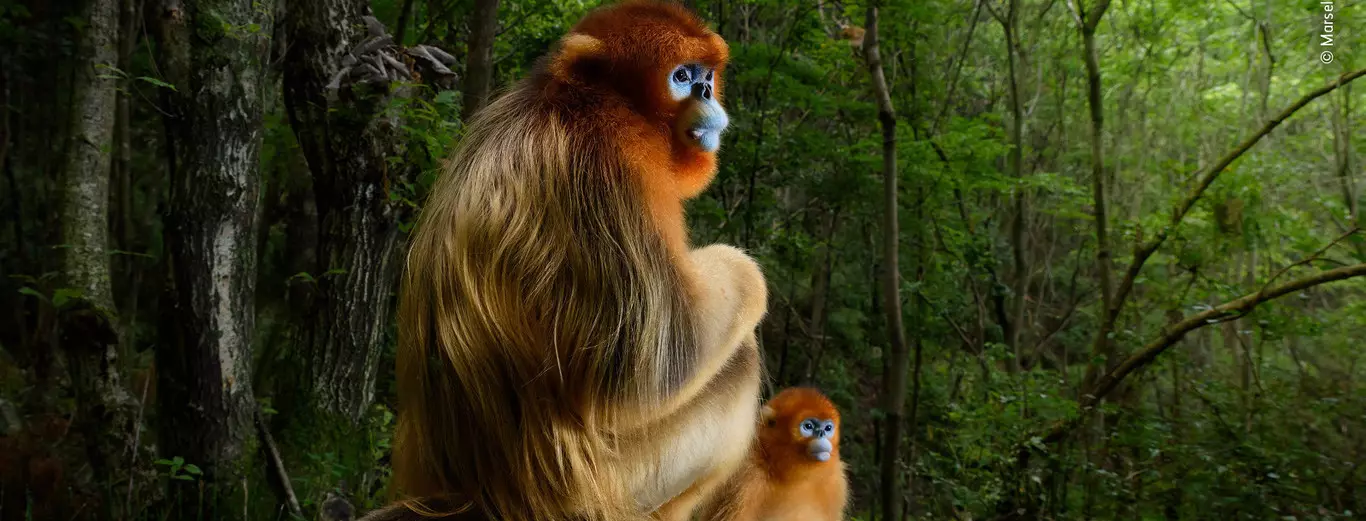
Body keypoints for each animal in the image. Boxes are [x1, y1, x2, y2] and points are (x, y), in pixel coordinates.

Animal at [379, 2, 770, 516]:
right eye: (682, 77)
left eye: (705, 74)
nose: (706, 88)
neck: (570, 99)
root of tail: (469, 491)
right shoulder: (613, 155)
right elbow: (657, 363)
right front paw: (747, 273)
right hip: (619, 477)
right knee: (738, 360)